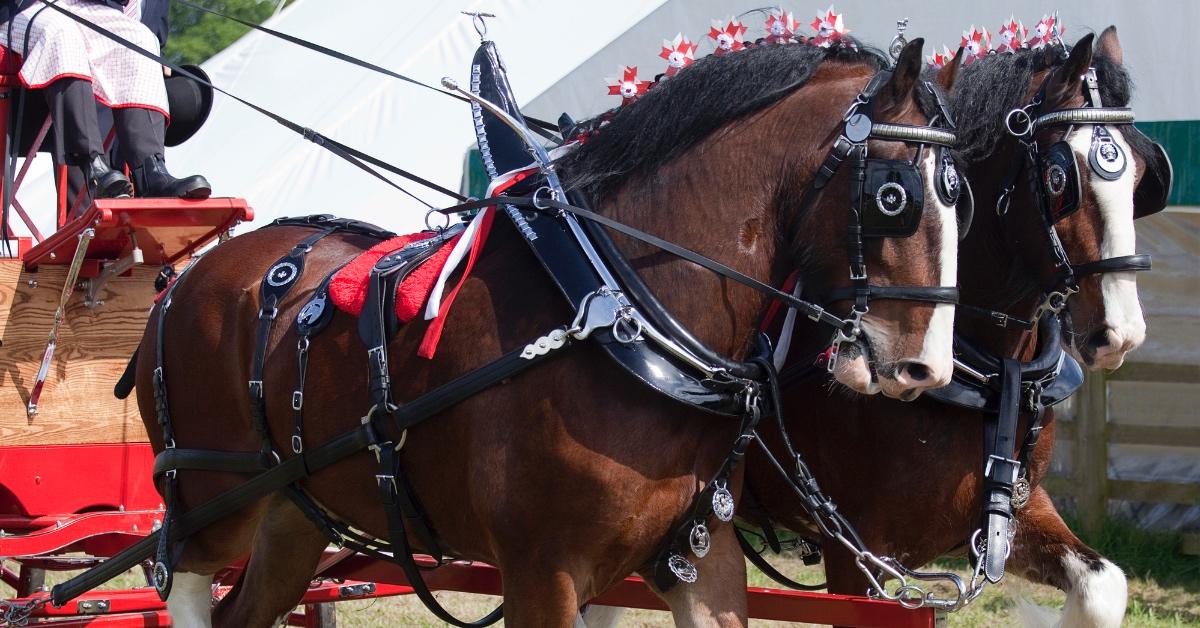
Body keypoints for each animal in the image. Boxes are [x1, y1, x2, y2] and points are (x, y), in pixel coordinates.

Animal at [135, 38, 964, 628]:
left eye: (966, 198)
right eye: (893, 195)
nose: (924, 369)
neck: (618, 311)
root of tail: (190, 278)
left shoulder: (698, 555)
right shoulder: (544, 573)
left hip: (294, 514)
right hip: (211, 497)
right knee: (184, 582)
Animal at [740, 28, 1170, 628]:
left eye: (1141, 175)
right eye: (1059, 178)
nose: (1121, 332)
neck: (991, 370)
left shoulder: (1013, 509)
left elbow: (1102, 586)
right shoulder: (856, 556)